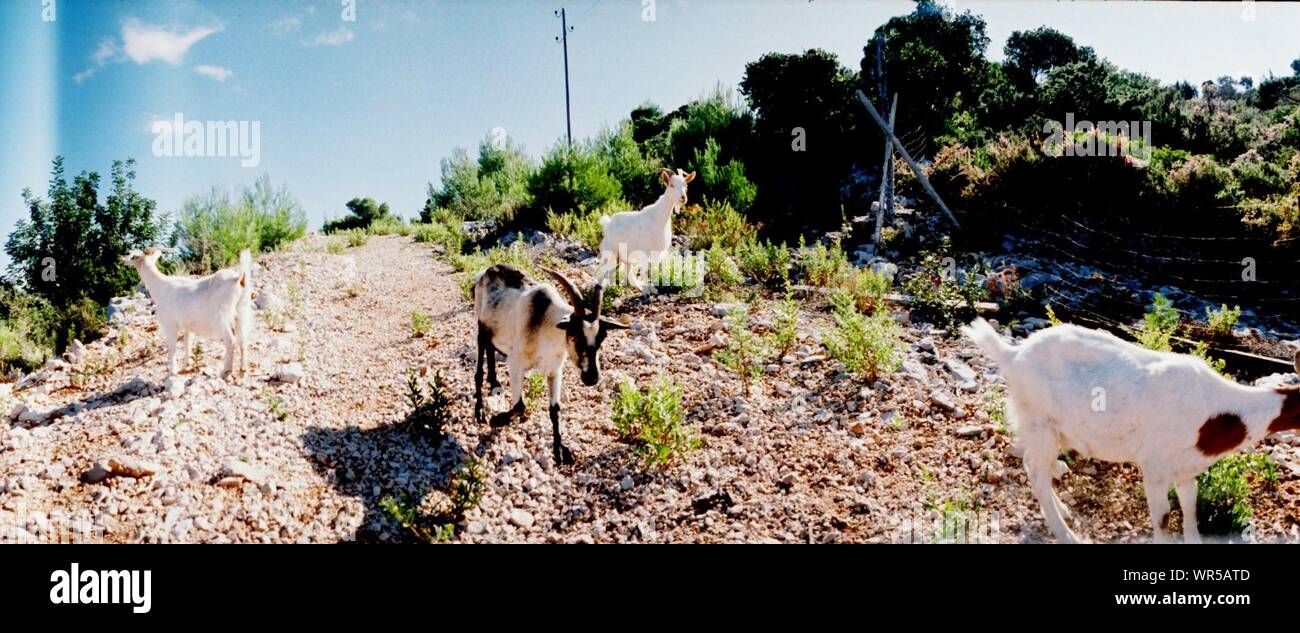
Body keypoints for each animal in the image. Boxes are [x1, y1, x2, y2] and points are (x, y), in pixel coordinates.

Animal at [121, 247, 254, 379]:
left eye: (135, 257)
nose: (124, 260)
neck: (161, 286)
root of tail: (239, 279)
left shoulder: (169, 325)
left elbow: (172, 348)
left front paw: (172, 371)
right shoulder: (188, 327)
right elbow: (187, 343)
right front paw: (187, 365)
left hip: (222, 319)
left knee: (231, 341)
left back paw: (226, 371)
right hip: (242, 313)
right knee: (244, 339)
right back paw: (243, 369)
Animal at [472, 264, 629, 464]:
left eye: (601, 338)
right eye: (574, 336)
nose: (592, 377)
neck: (543, 324)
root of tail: (486, 271)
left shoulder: (554, 371)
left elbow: (555, 410)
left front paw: (560, 450)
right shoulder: (515, 364)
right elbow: (520, 406)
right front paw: (497, 420)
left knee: (491, 348)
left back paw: (494, 383)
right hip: (481, 326)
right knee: (480, 364)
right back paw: (480, 410)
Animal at [964, 318, 1300, 543]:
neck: (1218, 415)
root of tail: (1012, 355)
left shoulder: (1186, 468)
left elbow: (1190, 508)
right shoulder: (1155, 465)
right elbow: (1162, 518)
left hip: (1048, 427)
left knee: (1039, 468)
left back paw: (1063, 512)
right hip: (1039, 419)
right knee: (1035, 468)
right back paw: (1067, 533)